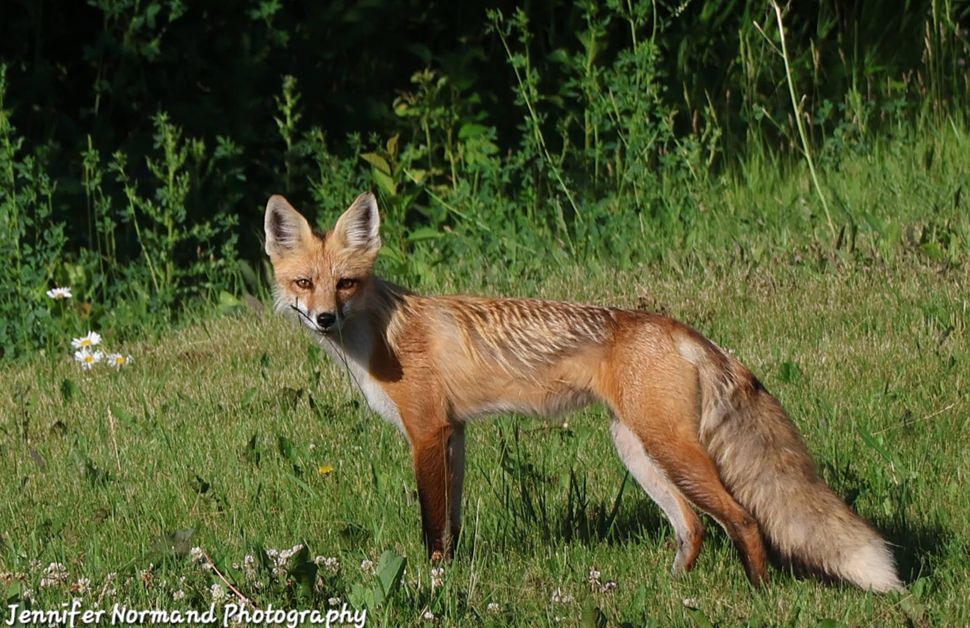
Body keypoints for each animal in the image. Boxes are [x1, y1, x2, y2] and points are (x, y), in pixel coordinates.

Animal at [263, 191, 904, 593]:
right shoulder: (456, 433)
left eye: (347, 283)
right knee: (693, 528)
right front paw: (453, 575)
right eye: (304, 283)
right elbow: (455, 522)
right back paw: (670, 592)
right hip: (638, 452)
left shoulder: (427, 432)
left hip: (671, 451)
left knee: (743, 521)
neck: (384, 333)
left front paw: (434, 580)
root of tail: (678, 328)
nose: (323, 318)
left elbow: (431, 525)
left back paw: (760, 595)